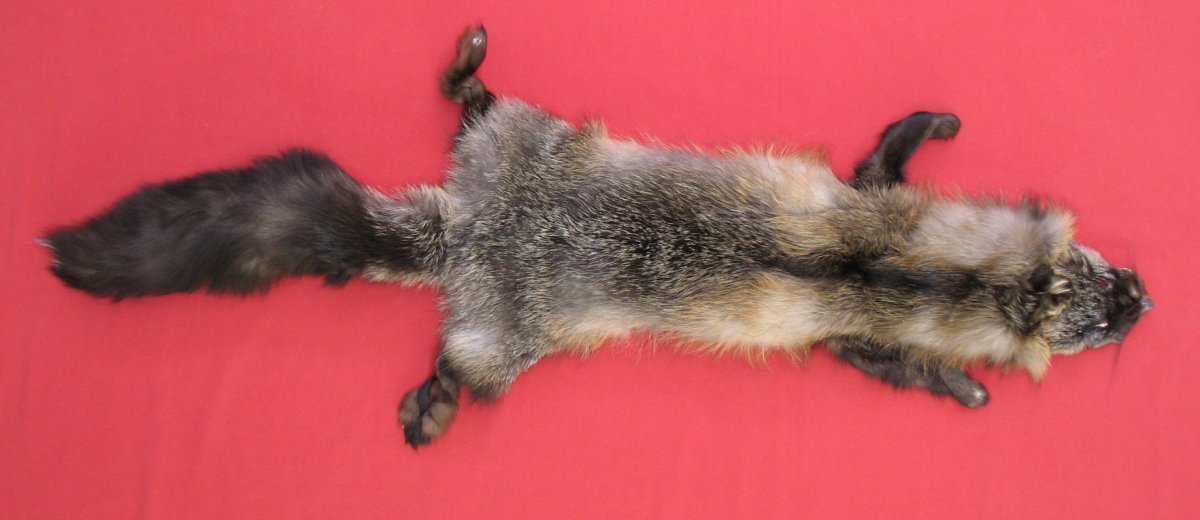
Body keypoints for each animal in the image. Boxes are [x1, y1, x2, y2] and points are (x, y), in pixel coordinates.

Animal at [42, 26, 1152, 447]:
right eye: (1097, 316)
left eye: (1103, 284)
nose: (1147, 298)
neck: (903, 269)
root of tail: (463, 238)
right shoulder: (865, 258)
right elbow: (899, 155)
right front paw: (967, 389)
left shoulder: (873, 219)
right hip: (506, 338)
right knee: (455, 365)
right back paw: (429, 411)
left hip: (509, 143)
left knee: (466, 107)